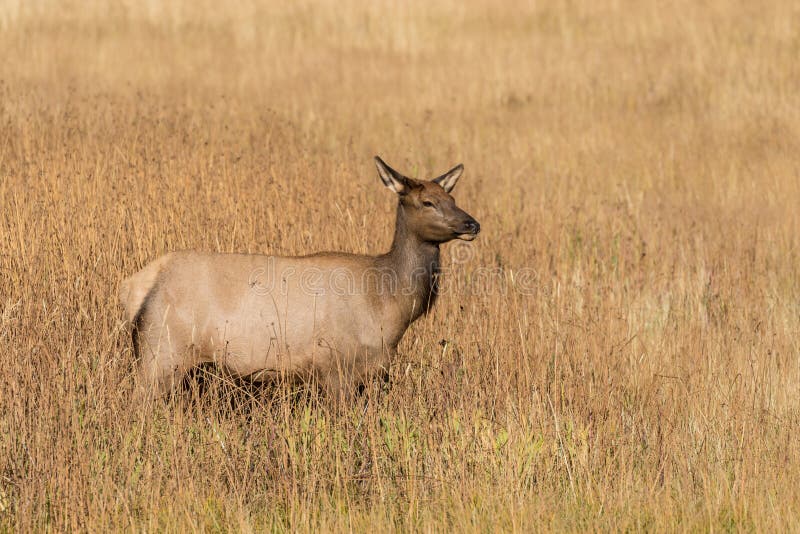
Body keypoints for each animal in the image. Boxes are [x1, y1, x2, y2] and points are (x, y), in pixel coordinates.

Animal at [119, 157, 480, 399]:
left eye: (453, 198)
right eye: (427, 201)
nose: (472, 224)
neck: (389, 305)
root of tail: (136, 287)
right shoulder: (336, 367)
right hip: (161, 352)